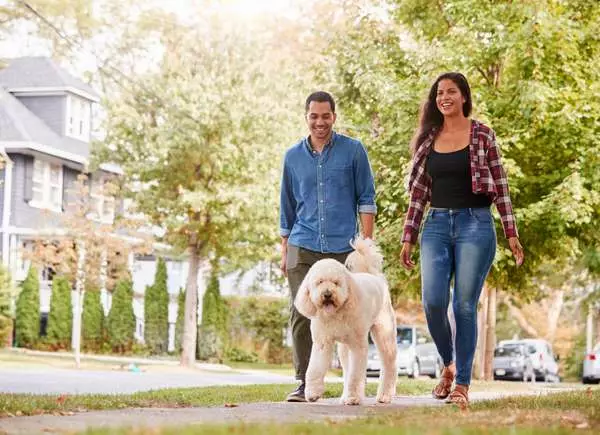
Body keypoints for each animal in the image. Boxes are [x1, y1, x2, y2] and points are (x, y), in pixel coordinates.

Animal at [292, 238, 396, 406]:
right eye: (319, 282)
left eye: (336, 282)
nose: (327, 294)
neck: (336, 313)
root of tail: (375, 277)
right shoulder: (322, 343)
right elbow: (315, 369)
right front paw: (312, 393)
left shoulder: (358, 346)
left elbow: (355, 374)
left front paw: (353, 397)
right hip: (344, 348)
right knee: (347, 369)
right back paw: (345, 395)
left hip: (384, 334)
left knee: (389, 365)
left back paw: (385, 395)